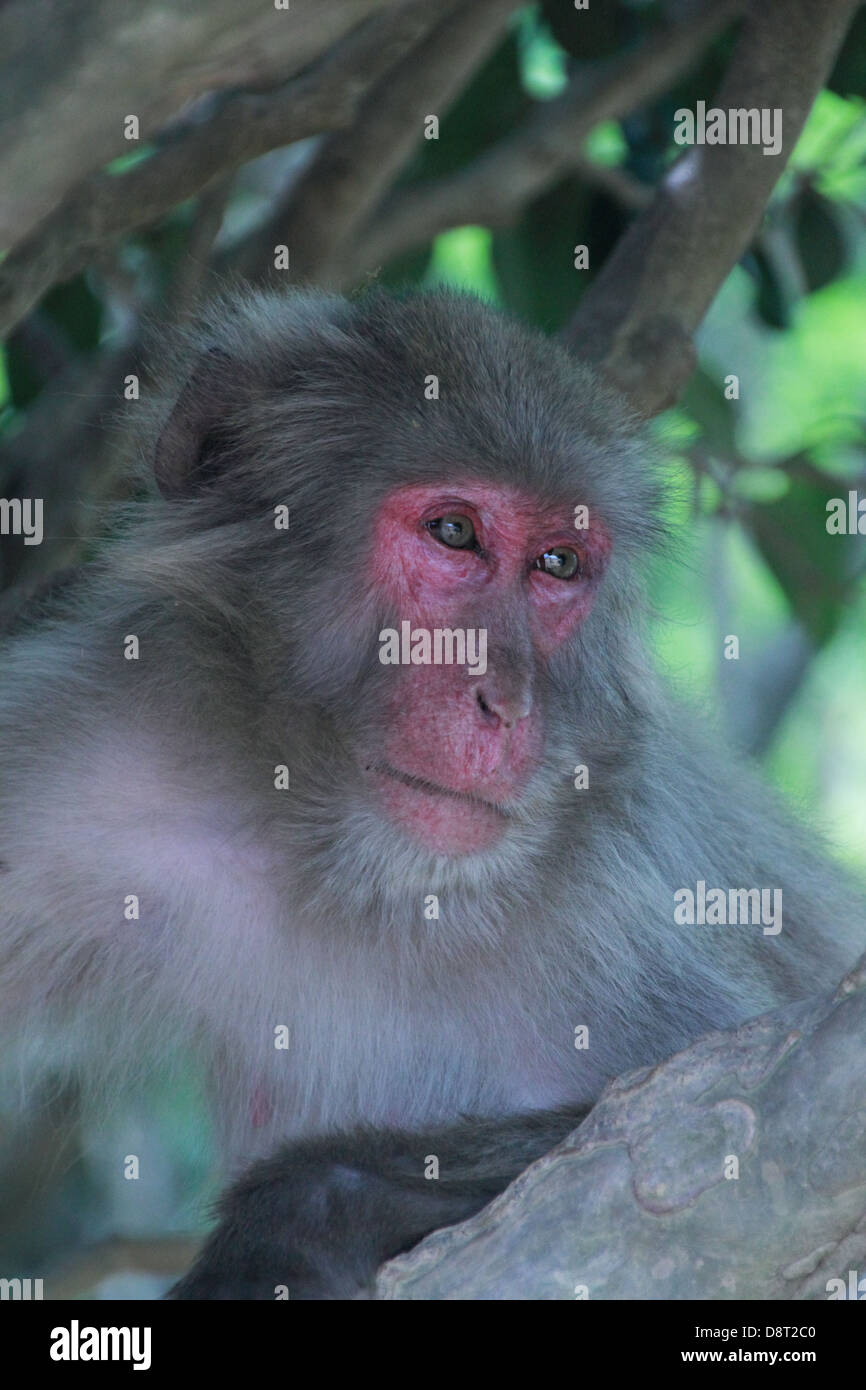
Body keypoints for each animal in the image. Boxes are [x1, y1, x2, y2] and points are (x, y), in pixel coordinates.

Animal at [0, 287, 862, 1299]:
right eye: (455, 534)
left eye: (557, 564)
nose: (506, 703)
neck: (353, 868)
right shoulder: (78, 757)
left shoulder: (625, 892)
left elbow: (717, 1136)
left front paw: (297, 1221)